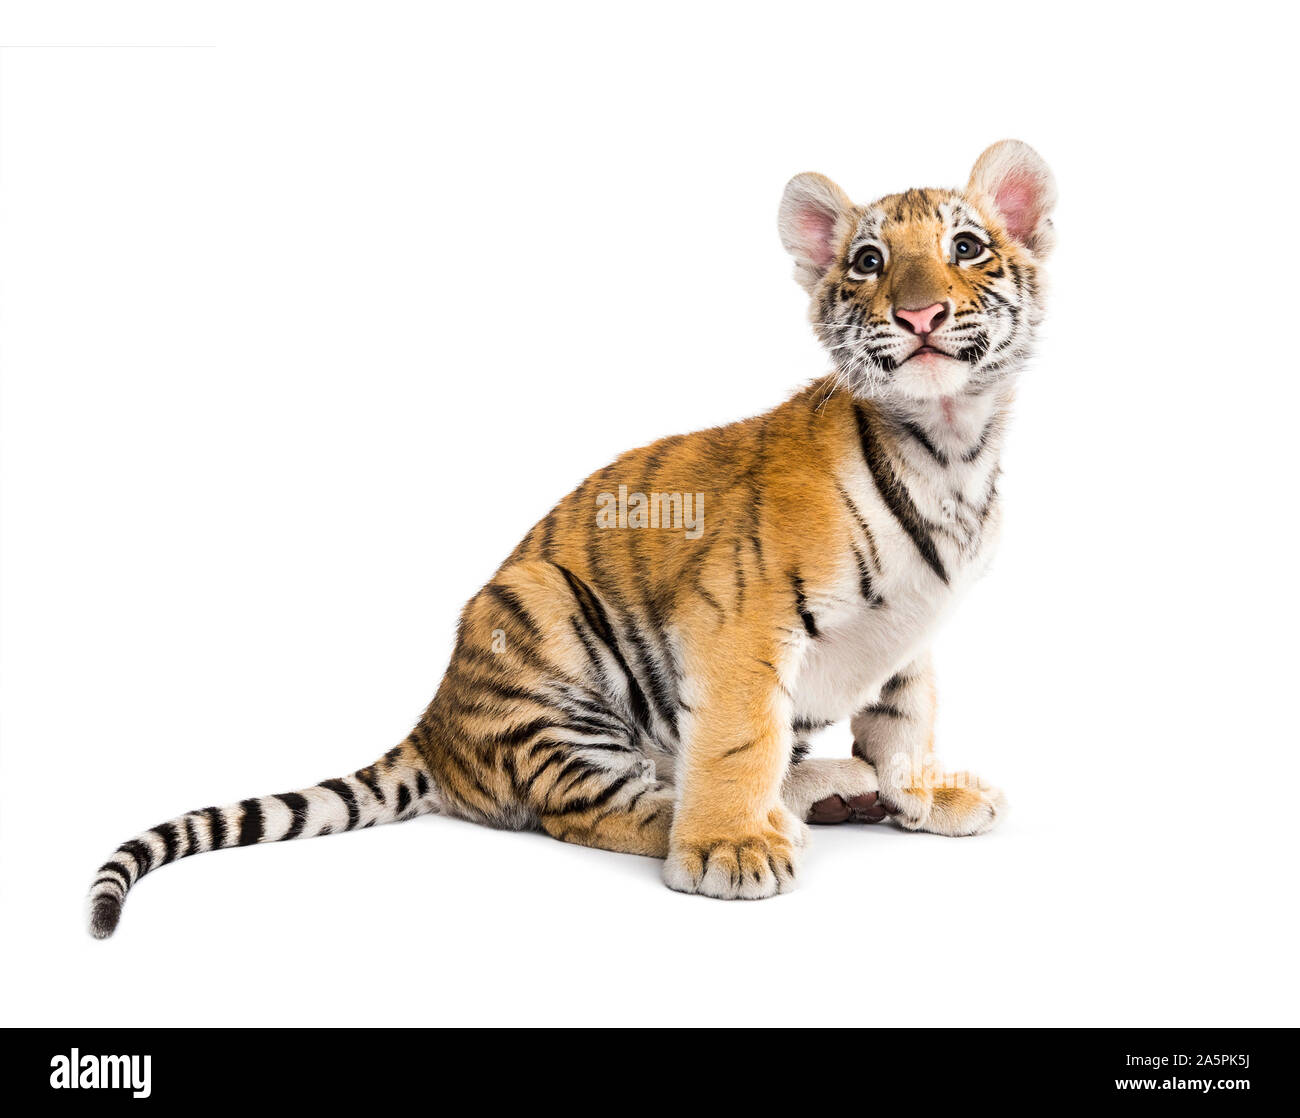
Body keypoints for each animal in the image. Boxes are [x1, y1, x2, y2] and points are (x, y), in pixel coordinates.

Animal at [88, 139, 1055, 935]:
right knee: (588, 801)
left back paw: (832, 791)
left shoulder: (913, 631)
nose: (921, 316)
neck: (950, 448)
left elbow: (905, 717)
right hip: (544, 626)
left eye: (967, 248)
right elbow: (739, 738)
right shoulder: (739, 618)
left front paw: (924, 791)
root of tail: (432, 729)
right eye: (867, 262)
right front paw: (730, 850)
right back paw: (759, 820)